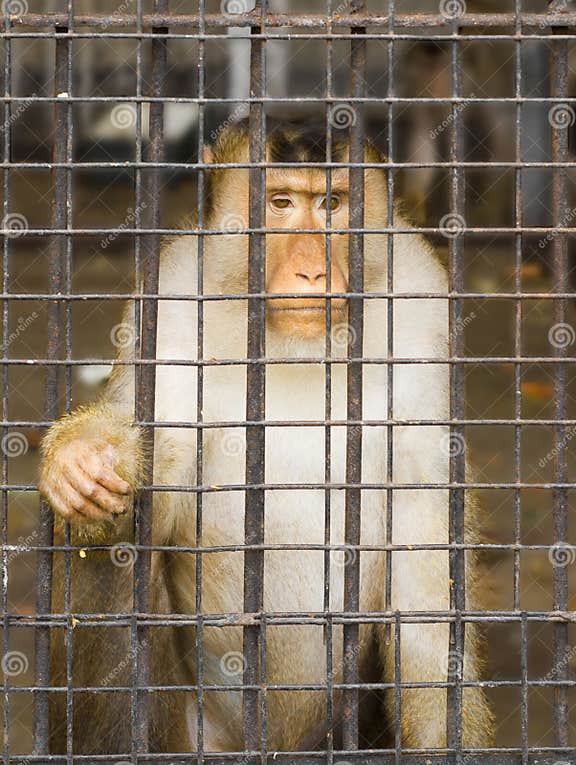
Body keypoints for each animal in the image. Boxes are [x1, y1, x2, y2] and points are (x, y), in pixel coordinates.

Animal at [40, 119, 493, 755]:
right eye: (280, 204)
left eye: (332, 205)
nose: (312, 272)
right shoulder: (172, 305)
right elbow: (155, 470)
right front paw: (81, 459)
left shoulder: (420, 307)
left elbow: (425, 574)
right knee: (117, 545)